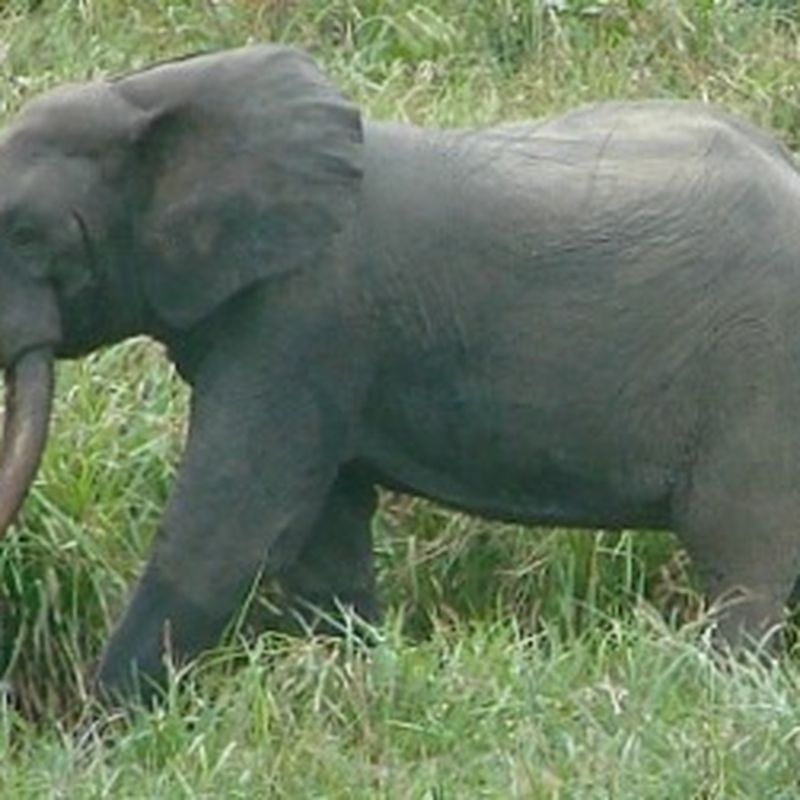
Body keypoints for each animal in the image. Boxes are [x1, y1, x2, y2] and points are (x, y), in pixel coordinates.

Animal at [0, 43, 799, 703]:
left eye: (23, 233)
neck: (144, 95)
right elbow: (322, 539)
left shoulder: (302, 316)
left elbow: (229, 529)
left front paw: (97, 741)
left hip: (760, 372)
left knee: (740, 562)